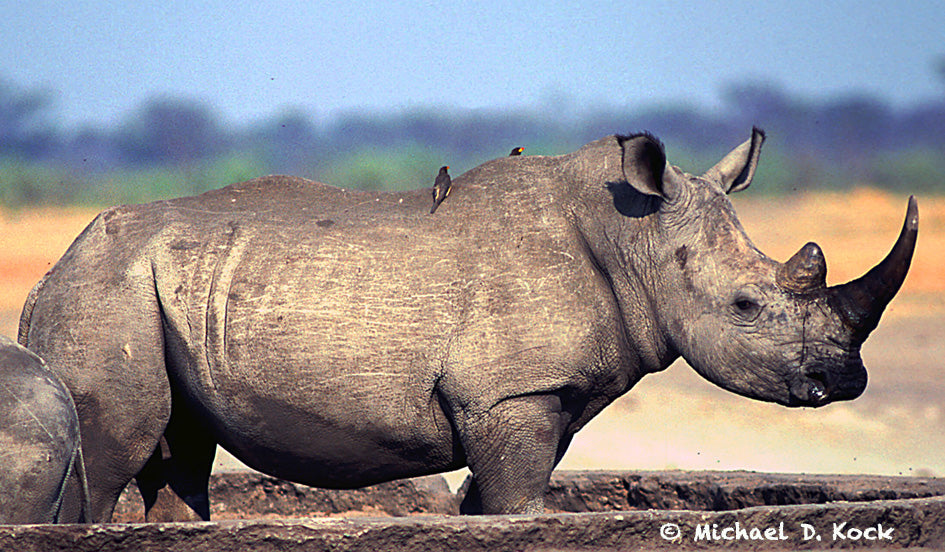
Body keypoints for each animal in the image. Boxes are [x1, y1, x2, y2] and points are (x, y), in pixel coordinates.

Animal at [18, 129, 917, 522]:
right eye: (743, 307)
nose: (845, 380)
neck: (634, 240)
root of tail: (47, 274)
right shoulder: (509, 392)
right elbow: (518, 499)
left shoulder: (535, 398)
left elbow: (499, 499)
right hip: (104, 288)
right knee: (111, 450)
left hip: (154, 285)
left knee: (181, 447)